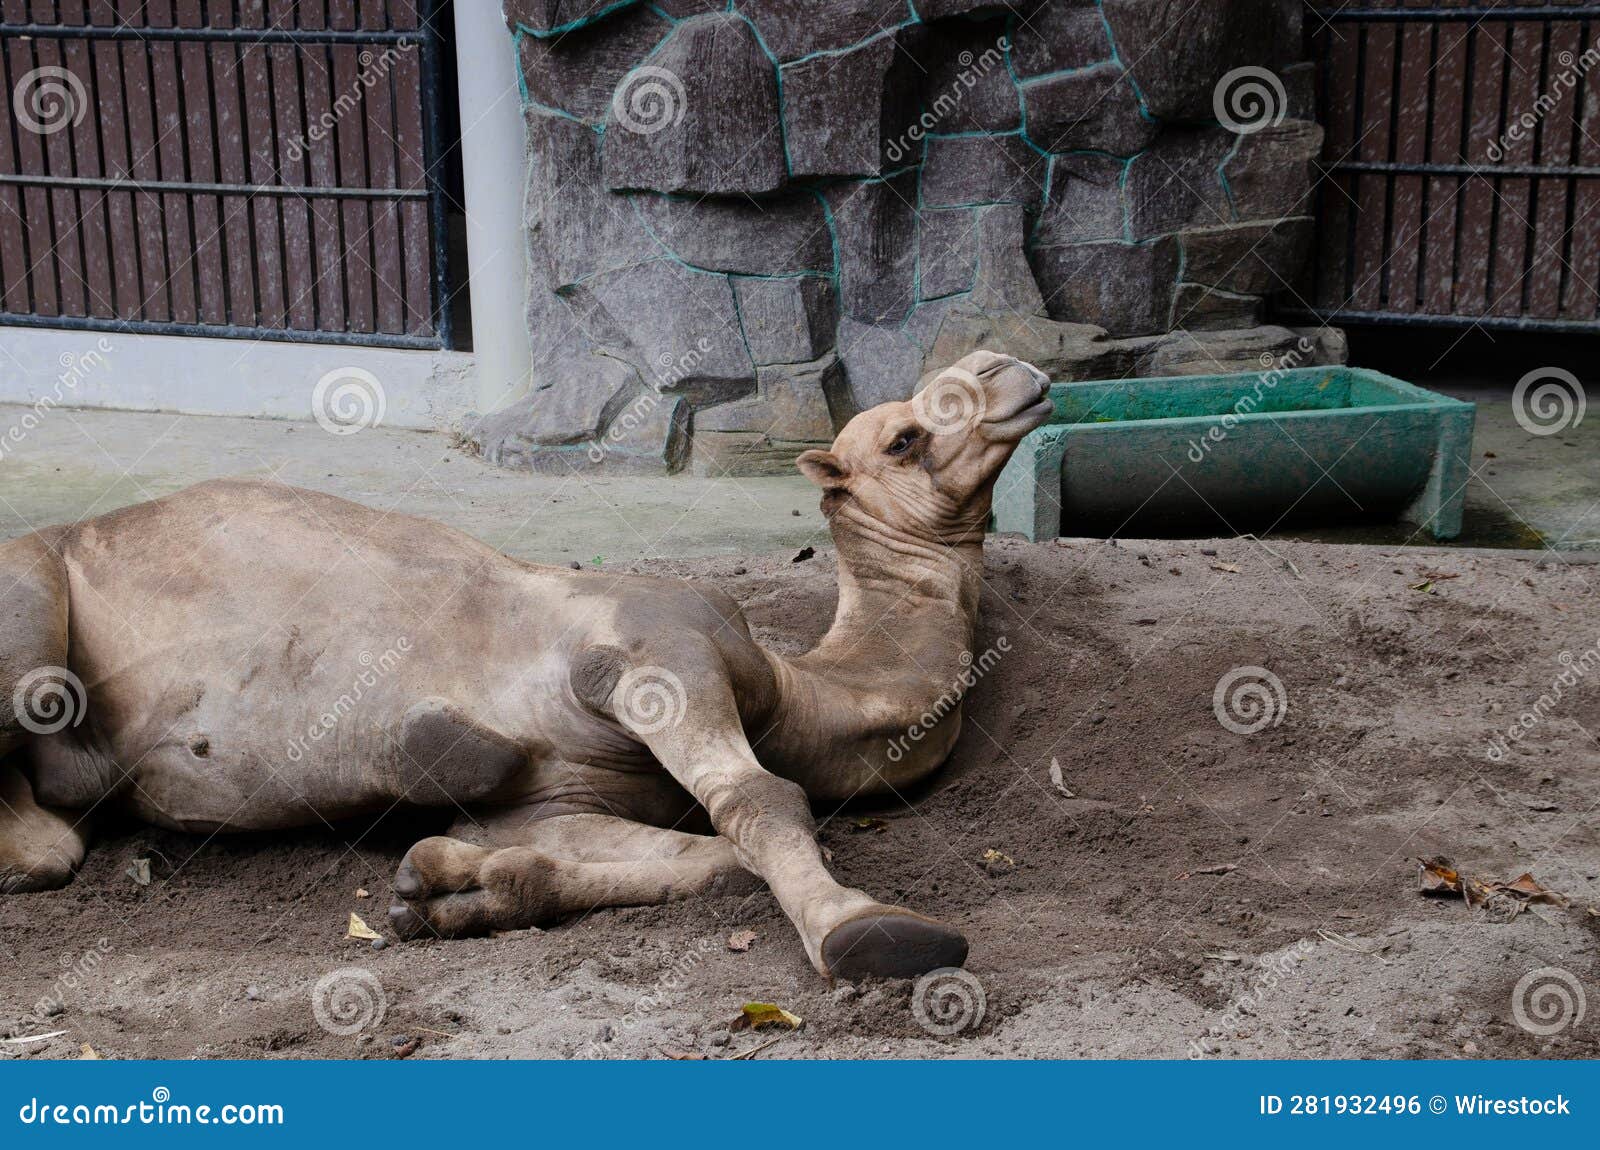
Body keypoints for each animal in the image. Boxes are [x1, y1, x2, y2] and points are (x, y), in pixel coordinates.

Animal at [0, 351, 1052, 980]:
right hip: (29, 582)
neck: (788, 688)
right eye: (903, 438)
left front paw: (450, 886)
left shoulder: (561, 796)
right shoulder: (656, 652)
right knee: (40, 722)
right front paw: (869, 930)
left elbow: (705, 859)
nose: (1005, 366)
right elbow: (761, 803)